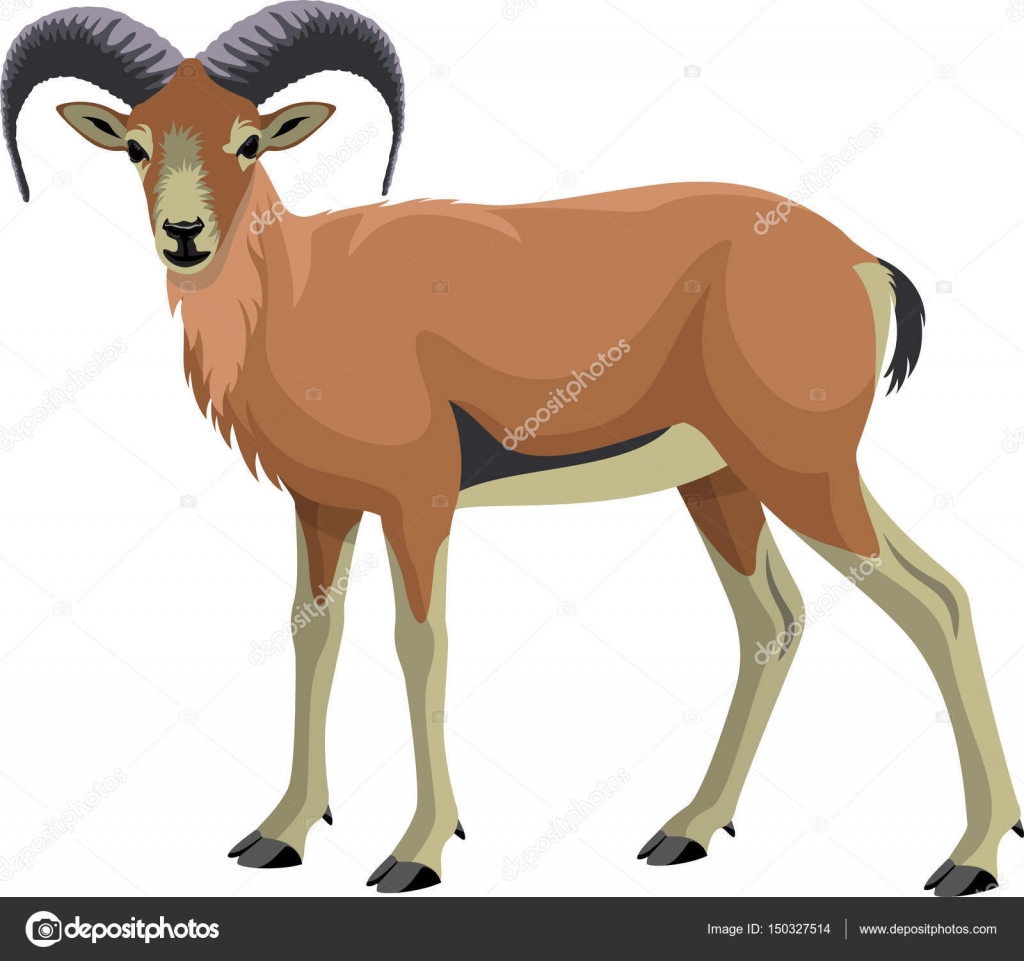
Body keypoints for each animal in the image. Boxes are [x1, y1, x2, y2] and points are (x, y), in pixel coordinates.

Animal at [4, 3, 1020, 895]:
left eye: (249, 140)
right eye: (137, 145)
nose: (184, 235)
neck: (297, 297)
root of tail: (860, 261)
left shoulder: (420, 500)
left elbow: (421, 642)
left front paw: (416, 851)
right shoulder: (324, 505)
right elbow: (312, 634)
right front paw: (278, 836)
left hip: (804, 472)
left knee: (937, 599)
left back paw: (969, 859)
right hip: (726, 484)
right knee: (775, 618)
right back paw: (686, 832)